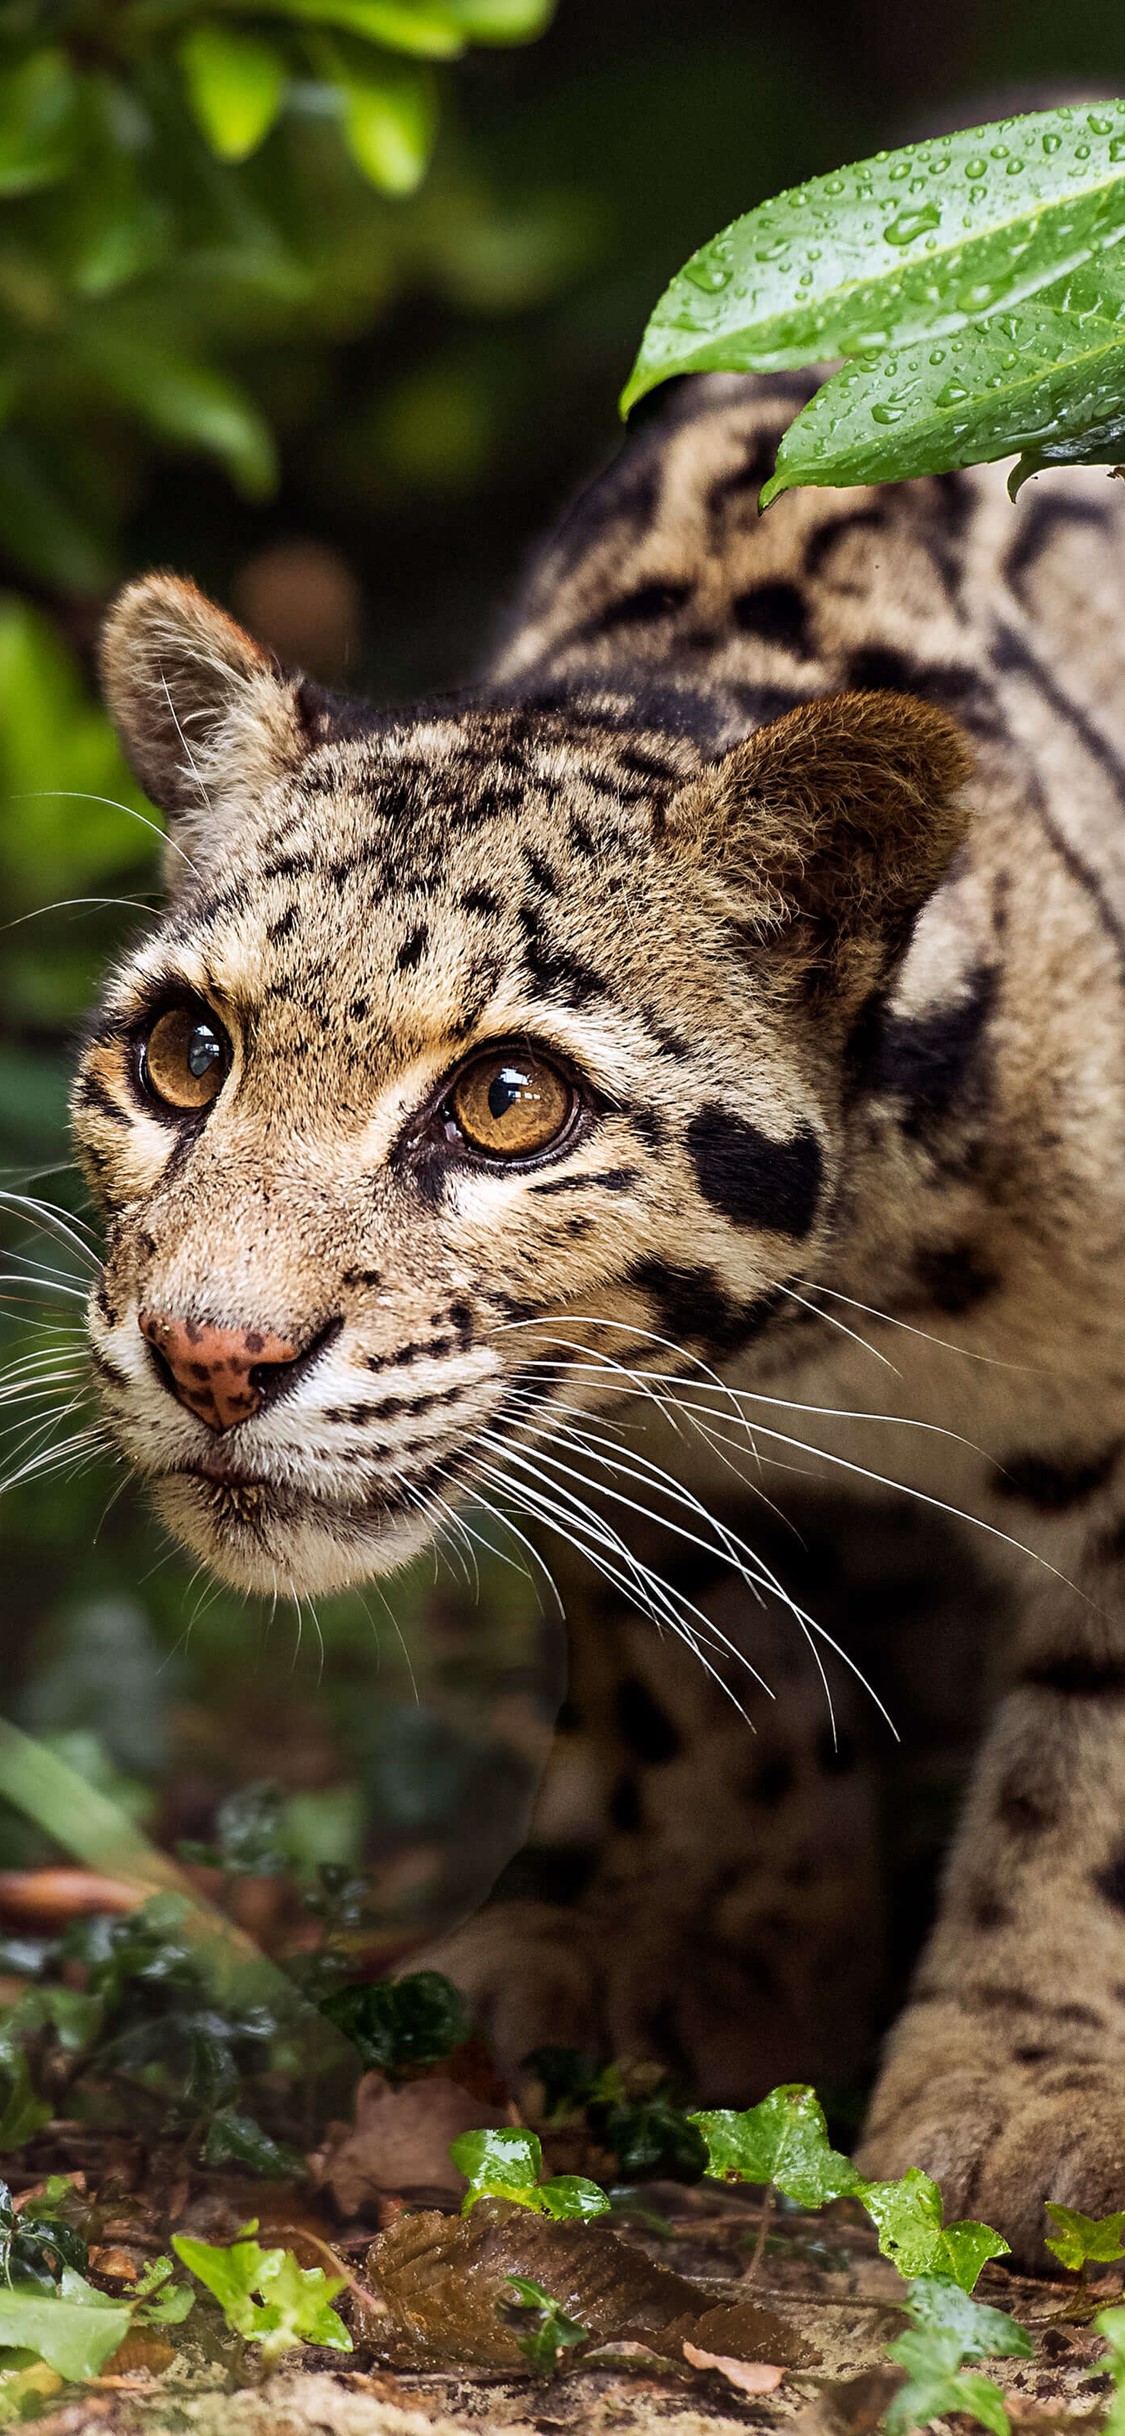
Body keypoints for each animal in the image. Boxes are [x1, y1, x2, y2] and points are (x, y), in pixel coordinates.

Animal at [71, 367, 1125, 2266]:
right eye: (186, 1052)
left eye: (508, 1102)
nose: (212, 1356)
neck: (843, 1322)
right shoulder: (665, 1469)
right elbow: (701, 1669)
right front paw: (683, 1939)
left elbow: (1092, 1750)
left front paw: (1027, 2082)